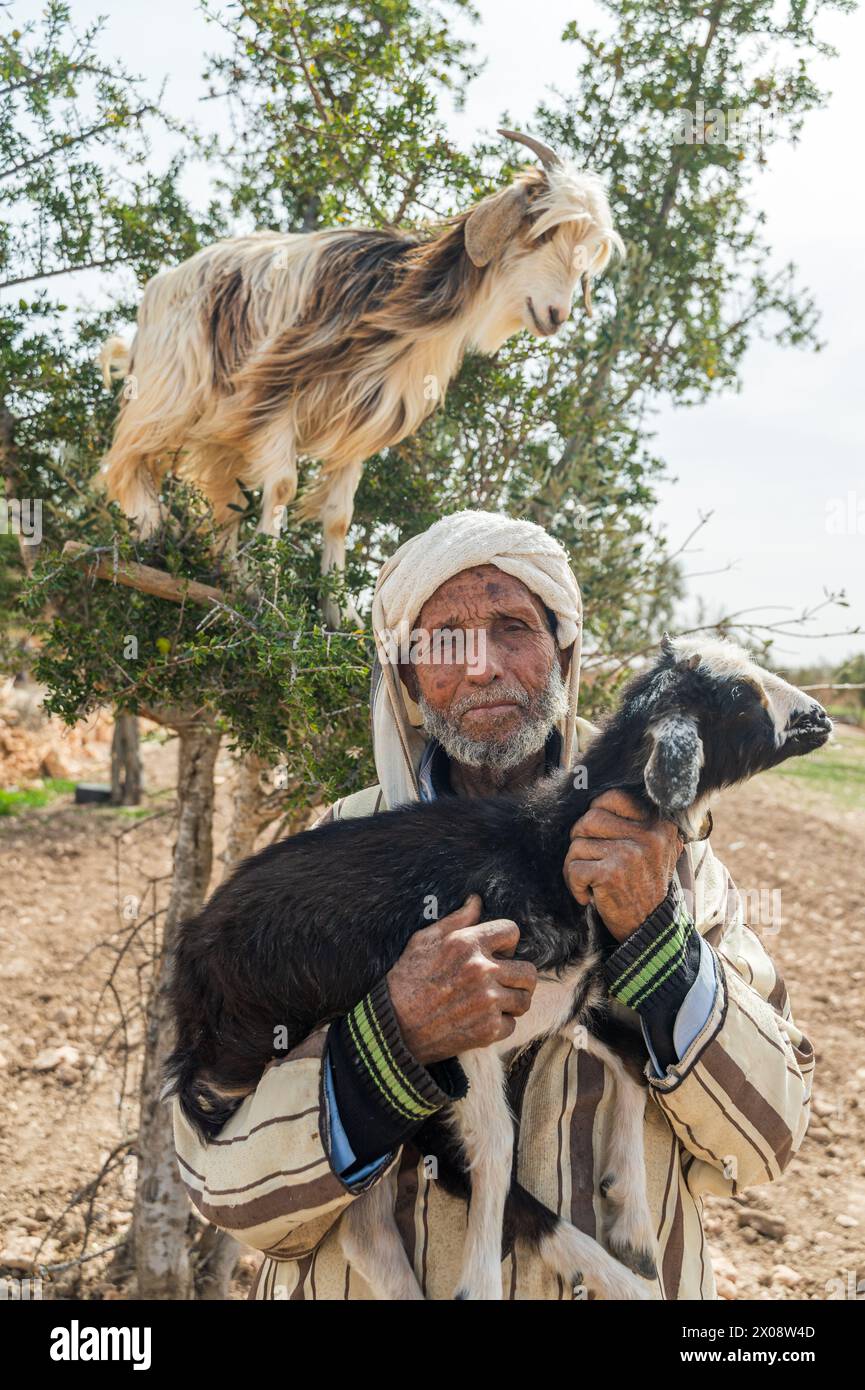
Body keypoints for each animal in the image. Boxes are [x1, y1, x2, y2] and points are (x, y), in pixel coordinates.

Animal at [98, 131, 622, 618]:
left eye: (587, 250)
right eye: (542, 231)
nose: (556, 315)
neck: (403, 301)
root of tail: (157, 290)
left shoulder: (360, 423)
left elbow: (338, 516)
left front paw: (337, 613)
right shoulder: (276, 391)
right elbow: (282, 487)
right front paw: (270, 594)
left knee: (224, 497)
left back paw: (226, 572)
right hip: (170, 388)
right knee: (127, 458)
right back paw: (152, 531)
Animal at [167, 635, 831, 1299]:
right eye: (741, 699)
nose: (819, 718)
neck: (550, 844)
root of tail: (190, 967)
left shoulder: (566, 1004)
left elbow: (636, 1064)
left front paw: (633, 1221)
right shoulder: (474, 1019)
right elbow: (496, 1143)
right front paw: (483, 1279)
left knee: (368, 1226)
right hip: (256, 1065)